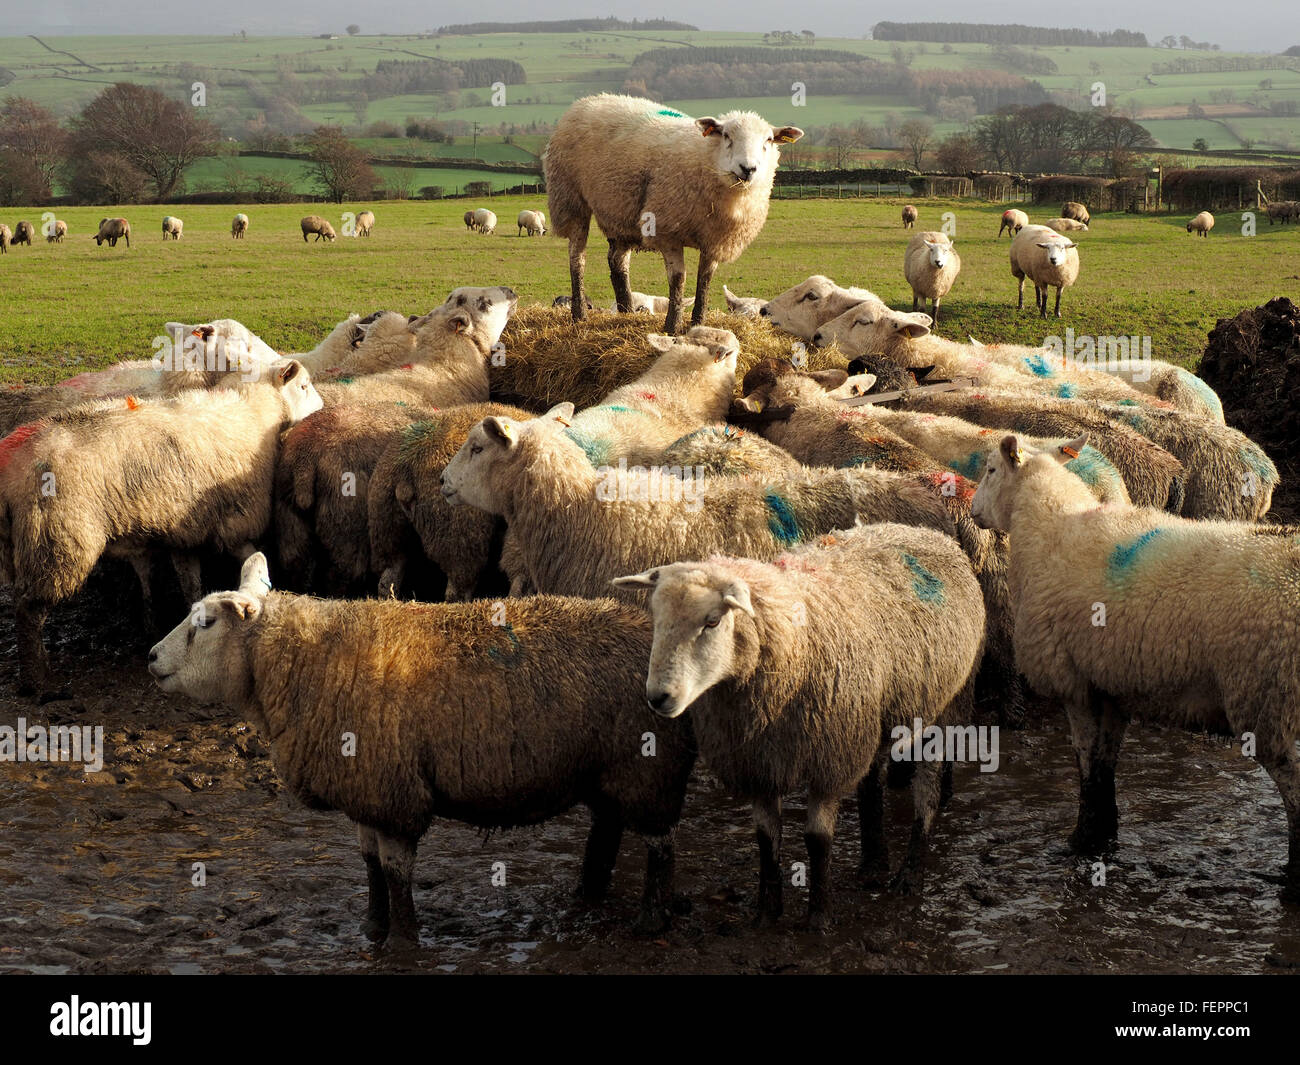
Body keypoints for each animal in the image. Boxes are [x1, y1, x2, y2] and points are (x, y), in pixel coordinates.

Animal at [0, 360, 322, 700]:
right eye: (303, 386)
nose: (322, 408)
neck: (254, 412)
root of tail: (11, 461)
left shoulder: (187, 533)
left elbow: (190, 582)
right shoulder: (233, 524)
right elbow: (254, 560)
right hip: (56, 538)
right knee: (28, 610)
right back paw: (37, 679)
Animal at [148, 552, 697, 946]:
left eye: (205, 624)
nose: (151, 657)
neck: (302, 661)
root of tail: (644, 629)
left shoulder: (394, 797)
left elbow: (396, 877)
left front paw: (404, 940)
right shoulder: (366, 792)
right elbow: (370, 866)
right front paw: (372, 928)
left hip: (648, 766)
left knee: (661, 845)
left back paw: (651, 921)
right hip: (607, 769)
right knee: (606, 832)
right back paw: (586, 896)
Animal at [544, 93, 802, 332]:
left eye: (769, 139)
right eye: (727, 135)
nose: (748, 169)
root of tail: (590, 99)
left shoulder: (714, 239)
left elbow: (704, 280)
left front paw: (698, 324)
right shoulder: (667, 231)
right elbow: (678, 279)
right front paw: (671, 327)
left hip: (620, 211)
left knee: (617, 262)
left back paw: (626, 311)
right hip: (570, 198)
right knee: (577, 258)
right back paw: (579, 314)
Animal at [614, 521, 985, 924]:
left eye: (712, 621)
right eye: (657, 620)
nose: (658, 697)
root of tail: (931, 534)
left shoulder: (828, 758)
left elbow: (817, 841)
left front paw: (819, 917)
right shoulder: (757, 762)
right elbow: (766, 837)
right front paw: (767, 912)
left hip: (944, 706)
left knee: (927, 792)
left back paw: (910, 874)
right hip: (870, 717)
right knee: (871, 781)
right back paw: (872, 864)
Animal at [970, 433, 1300, 901]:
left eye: (992, 470)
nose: (973, 510)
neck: (1052, 530)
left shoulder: (1074, 682)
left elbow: (1086, 763)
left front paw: (1081, 840)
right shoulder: (1112, 687)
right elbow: (1105, 764)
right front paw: (1104, 836)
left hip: (1264, 693)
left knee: (1294, 783)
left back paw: (1295, 879)